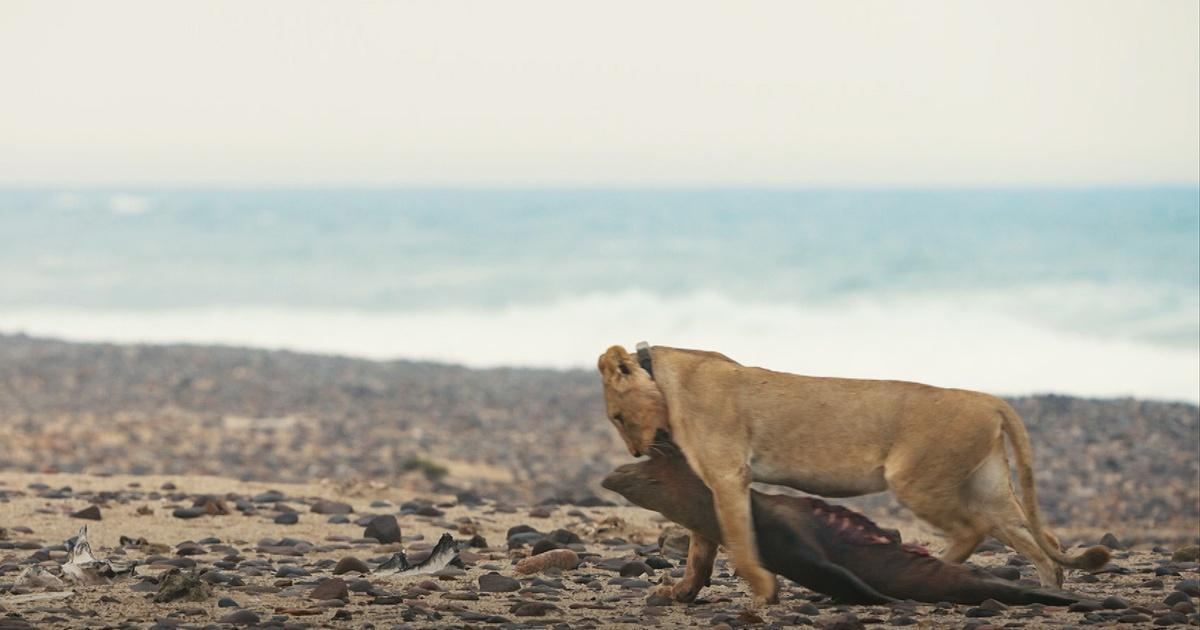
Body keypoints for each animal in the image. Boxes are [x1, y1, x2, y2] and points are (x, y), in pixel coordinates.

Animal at [598, 342, 1109, 606]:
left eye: (618, 417)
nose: (638, 451)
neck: (664, 376)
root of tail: (990, 399)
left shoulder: (727, 475)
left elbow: (740, 542)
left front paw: (763, 593)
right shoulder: (711, 481)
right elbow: (701, 549)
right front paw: (681, 592)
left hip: (917, 480)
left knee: (973, 530)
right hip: (988, 486)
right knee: (1042, 542)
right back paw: (1050, 590)